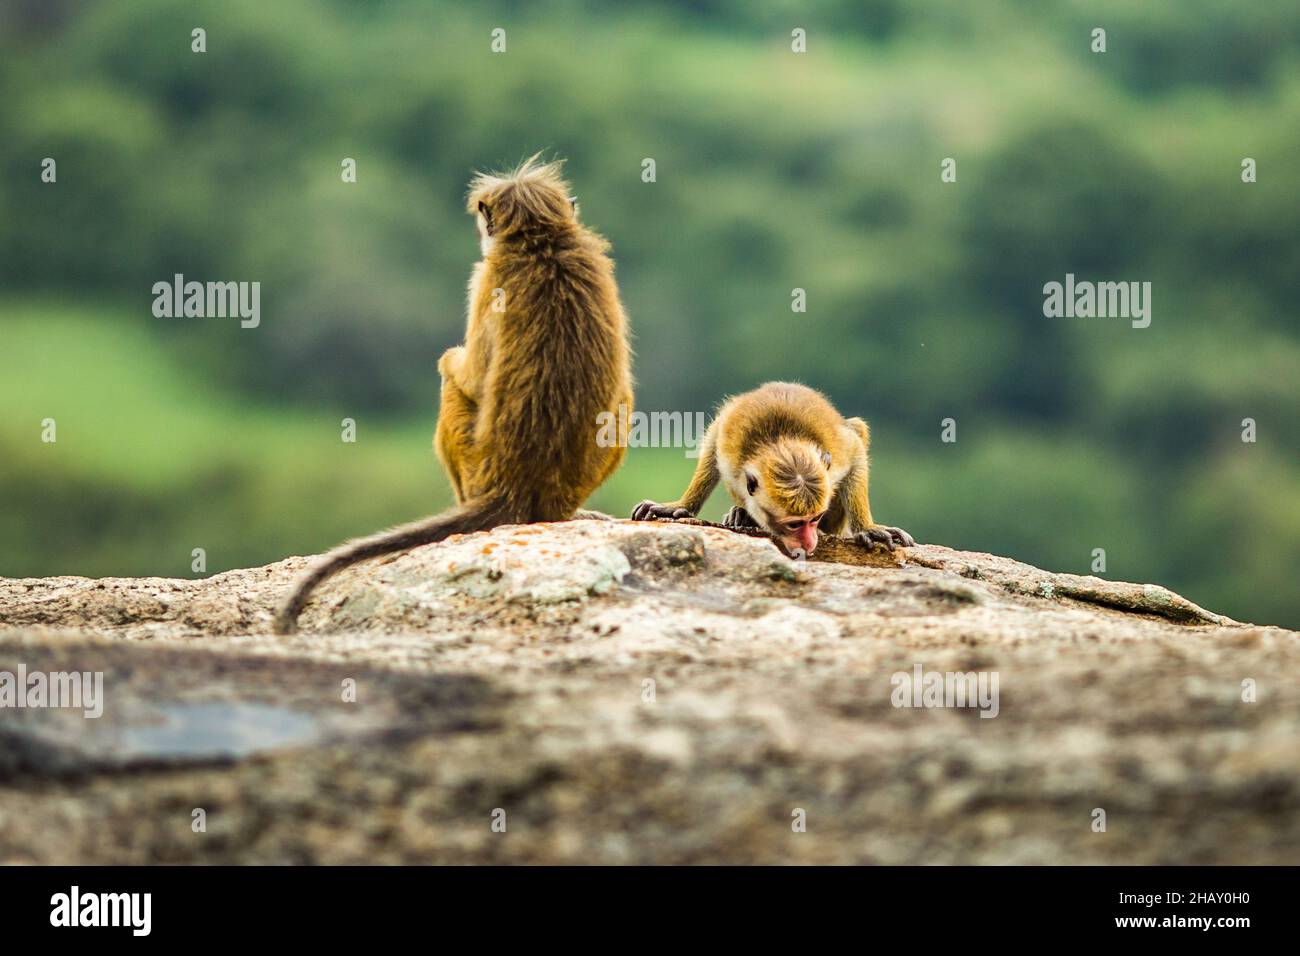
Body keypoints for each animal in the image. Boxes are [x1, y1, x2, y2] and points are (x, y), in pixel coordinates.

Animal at [274, 156, 633, 634]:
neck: (542, 242)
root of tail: (513, 486)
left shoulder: (484, 278)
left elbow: (472, 376)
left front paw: (449, 358)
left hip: (473, 462)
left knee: (454, 392)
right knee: (624, 399)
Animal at [630, 382, 913, 559]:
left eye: (814, 519)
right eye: (795, 524)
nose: (809, 542)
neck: (779, 440)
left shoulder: (837, 458)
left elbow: (855, 449)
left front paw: (867, 528)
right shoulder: (729, 449)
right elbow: (713, 437)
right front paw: (682, 506)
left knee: (856, 427)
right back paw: (742, 514)